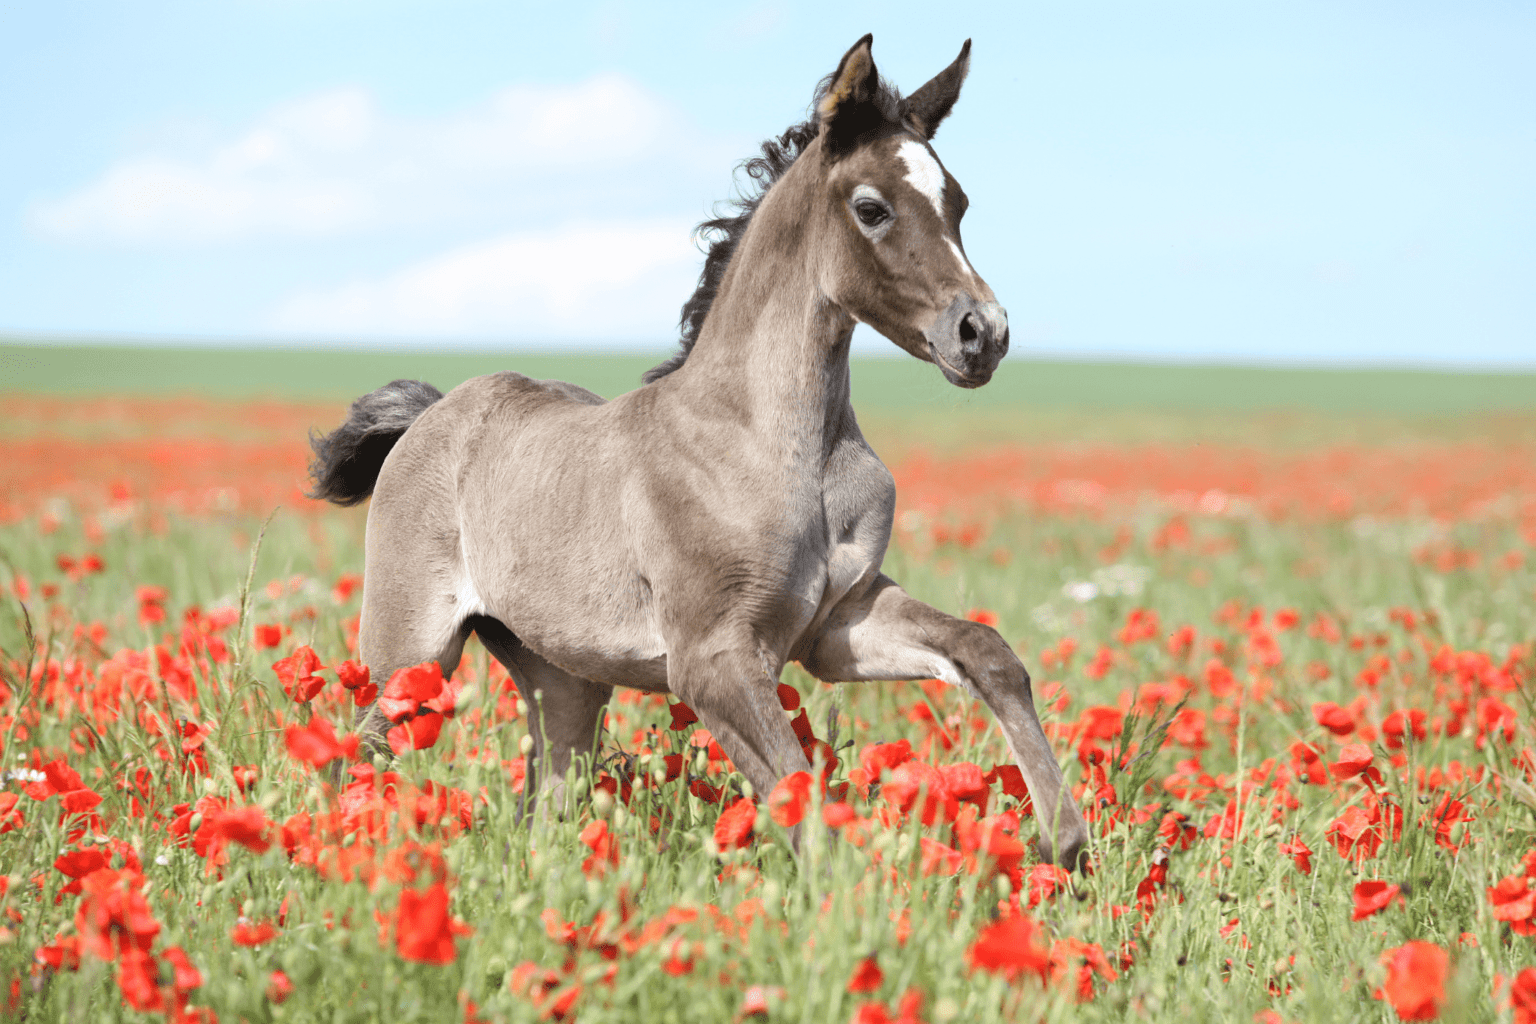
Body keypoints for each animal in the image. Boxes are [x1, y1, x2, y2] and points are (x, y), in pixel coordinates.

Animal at [308, 35, 1090, 870]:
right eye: (872, 209)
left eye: (959, 203)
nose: (983, 333)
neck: (772, 444)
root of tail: (431, 414)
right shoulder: (712, 660)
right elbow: (800, 796)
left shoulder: (838, 627)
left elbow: (985, 650)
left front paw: (1066, 844)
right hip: (409, 659)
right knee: (358, 756)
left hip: (565, 680)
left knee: (542, 804)